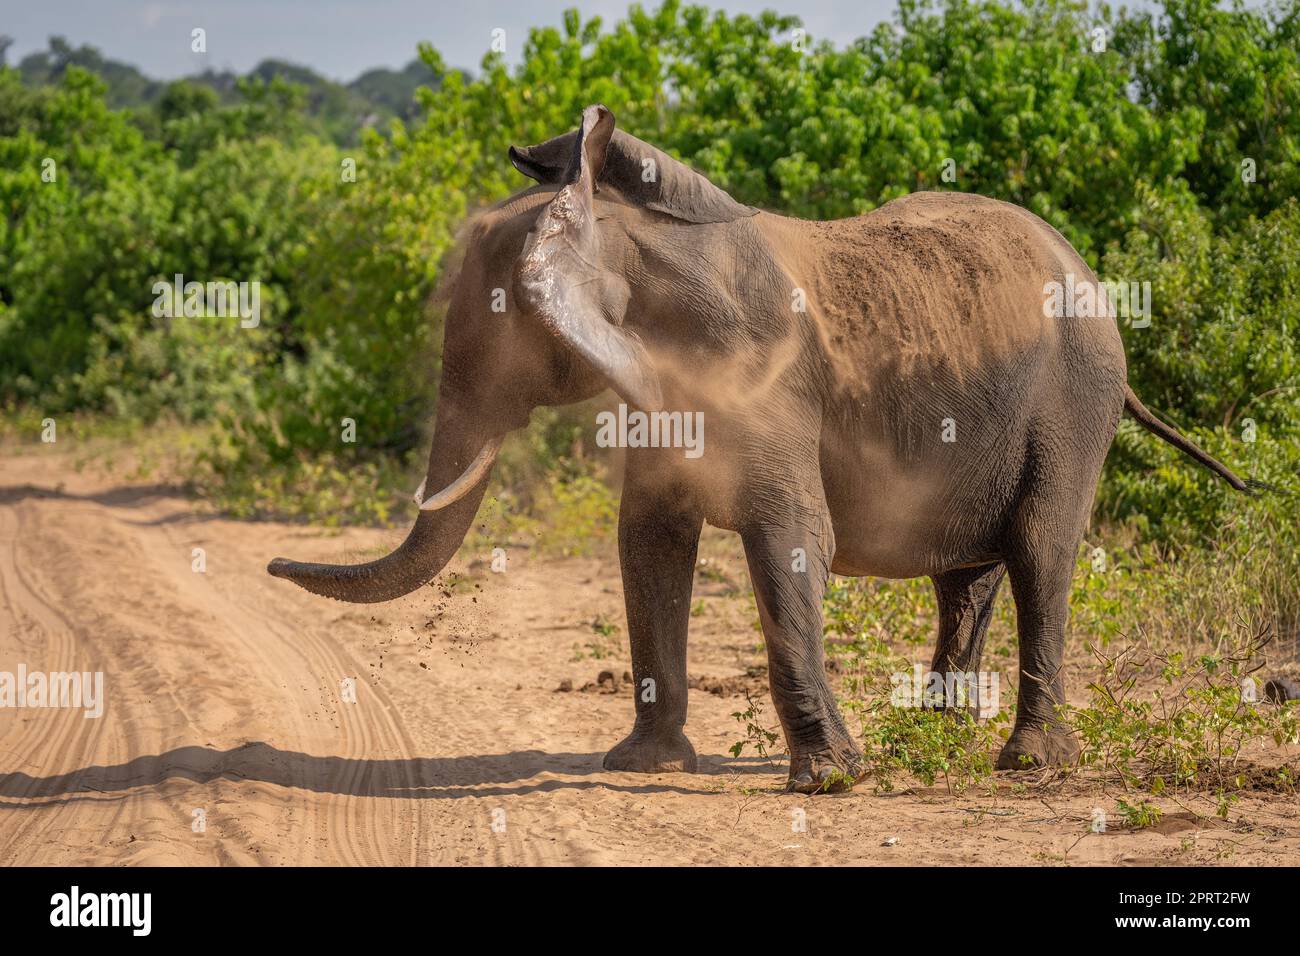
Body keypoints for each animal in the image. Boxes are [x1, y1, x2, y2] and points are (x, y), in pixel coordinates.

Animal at [269, 104, 1264, 793]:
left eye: (492, 333)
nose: (273, 566)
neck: (626, 231)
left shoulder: (768, 382)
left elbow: (789, 540)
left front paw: (831, 783)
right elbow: (647, 545)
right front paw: (642, 767)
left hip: (1076, 398)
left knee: (1042, 552)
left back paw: (1029, 763)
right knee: (968, 578)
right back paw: (935, 740)